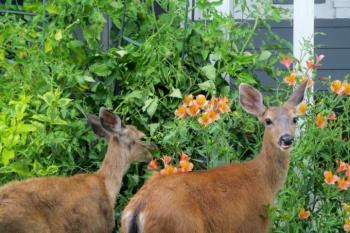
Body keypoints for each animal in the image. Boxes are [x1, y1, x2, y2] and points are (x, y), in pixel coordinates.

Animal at [121, 81, 308, 233]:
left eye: (295, 119)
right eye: (268, 120)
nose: (286, 139)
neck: (265, 181)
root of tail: (139, 209)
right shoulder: (254, 225)